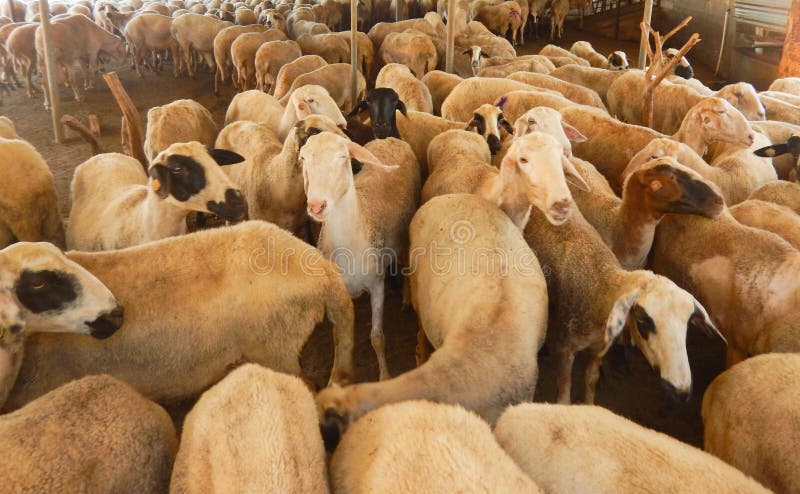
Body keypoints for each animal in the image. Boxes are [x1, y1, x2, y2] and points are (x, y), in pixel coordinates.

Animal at [300, 132, 420, 380]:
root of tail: (389, 138)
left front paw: (385, 377)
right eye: (303, 158)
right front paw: (335, 378)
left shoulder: (376, 284)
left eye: (343, 156)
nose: (316, 205)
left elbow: (377, 338)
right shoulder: (337, 295)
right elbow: (338, 340)